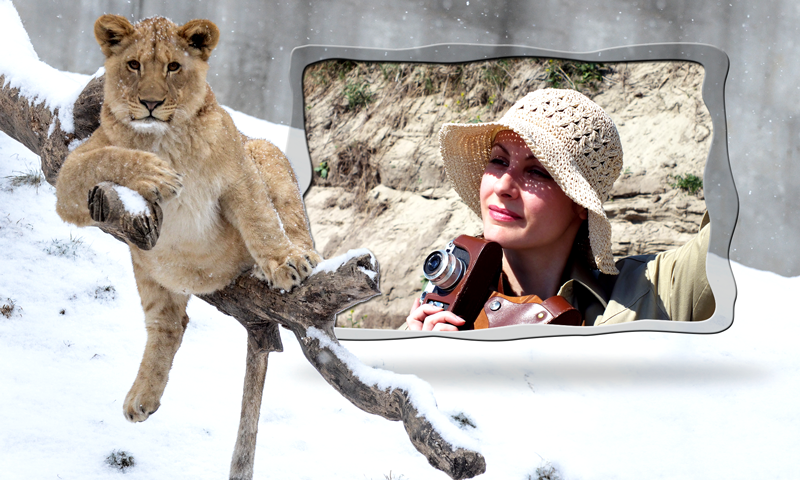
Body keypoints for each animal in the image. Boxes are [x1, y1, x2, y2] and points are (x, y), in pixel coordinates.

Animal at [55, 14, 321, 423]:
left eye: (173, 67)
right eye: (134, 65)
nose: (150, 103)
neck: (162, 138)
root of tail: (205, 279)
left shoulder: (240, 173)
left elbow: (261, 220)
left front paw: (283, 263)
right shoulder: (68, 180)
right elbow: (107, 156)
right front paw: (156, 174)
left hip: (265, 150)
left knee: (293, 220)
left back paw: (293, 259)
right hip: (146, 266)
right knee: (169, 325)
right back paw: (141, 398)